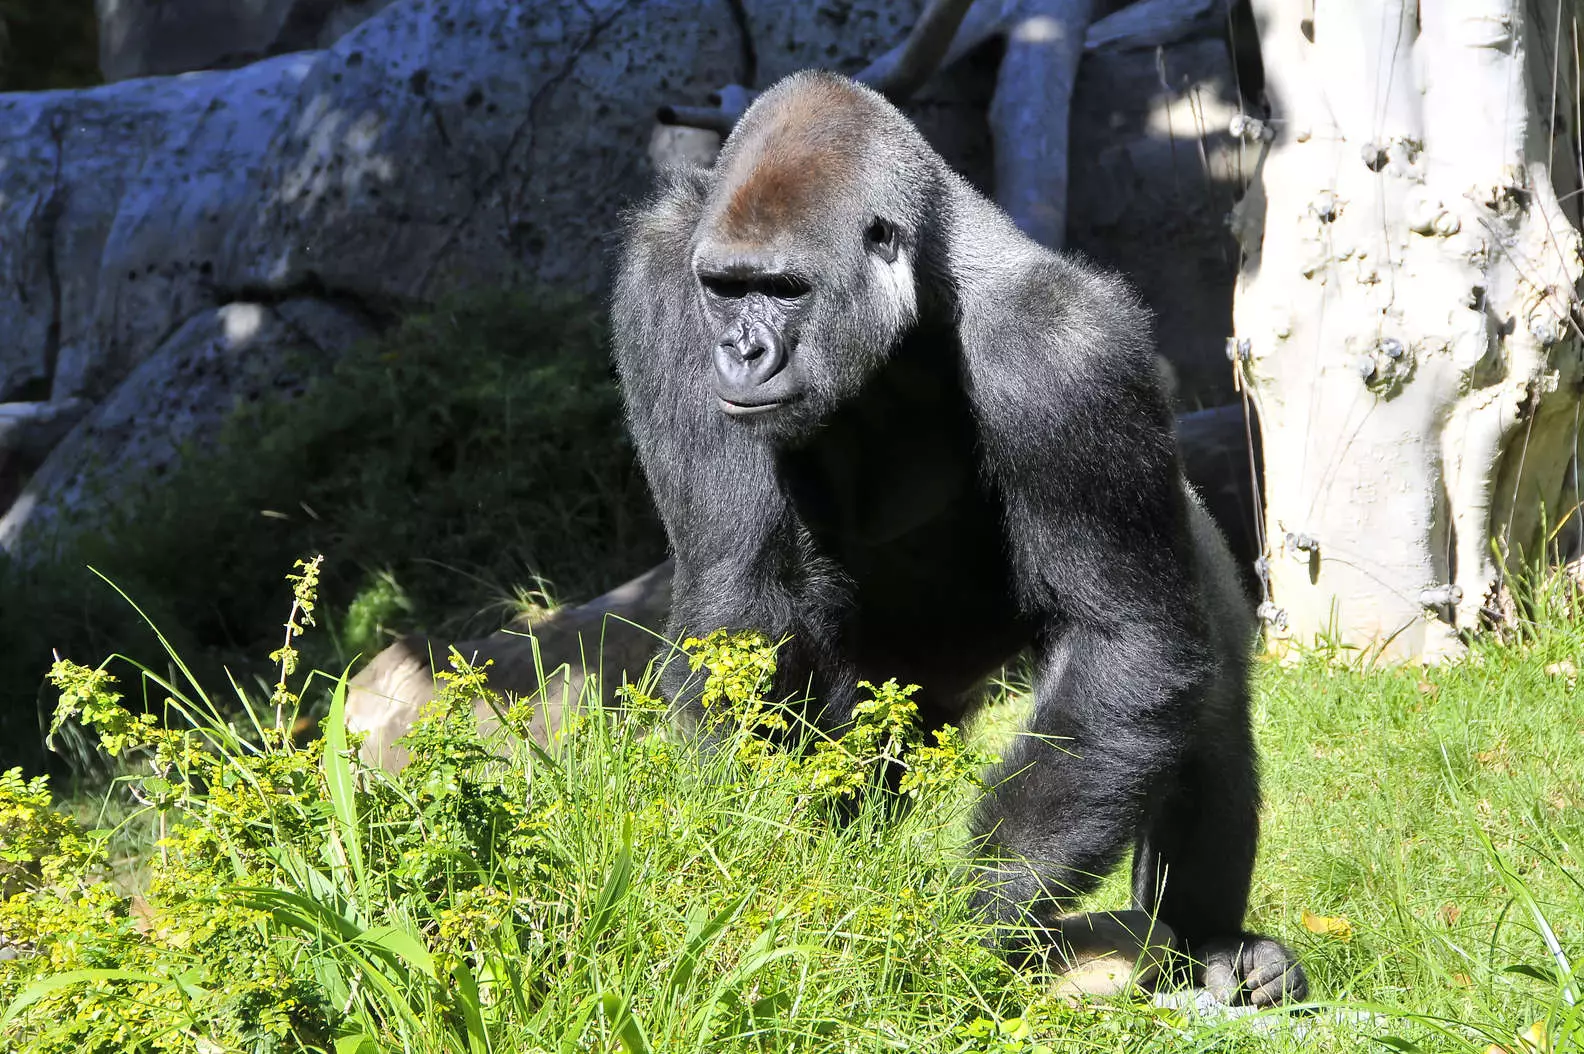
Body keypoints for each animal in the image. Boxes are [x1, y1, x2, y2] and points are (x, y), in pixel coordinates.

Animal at [611, 69, 1305, 1008]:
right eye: (724, 287)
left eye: (786, 289)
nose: (742, 352)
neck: (918, 291)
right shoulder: (663, 277)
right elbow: (743, 601)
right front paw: (749, 867)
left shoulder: (1068, 349)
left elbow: (1123, 641)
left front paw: (953, 933)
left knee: (1202, 683)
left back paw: (1212, 942)